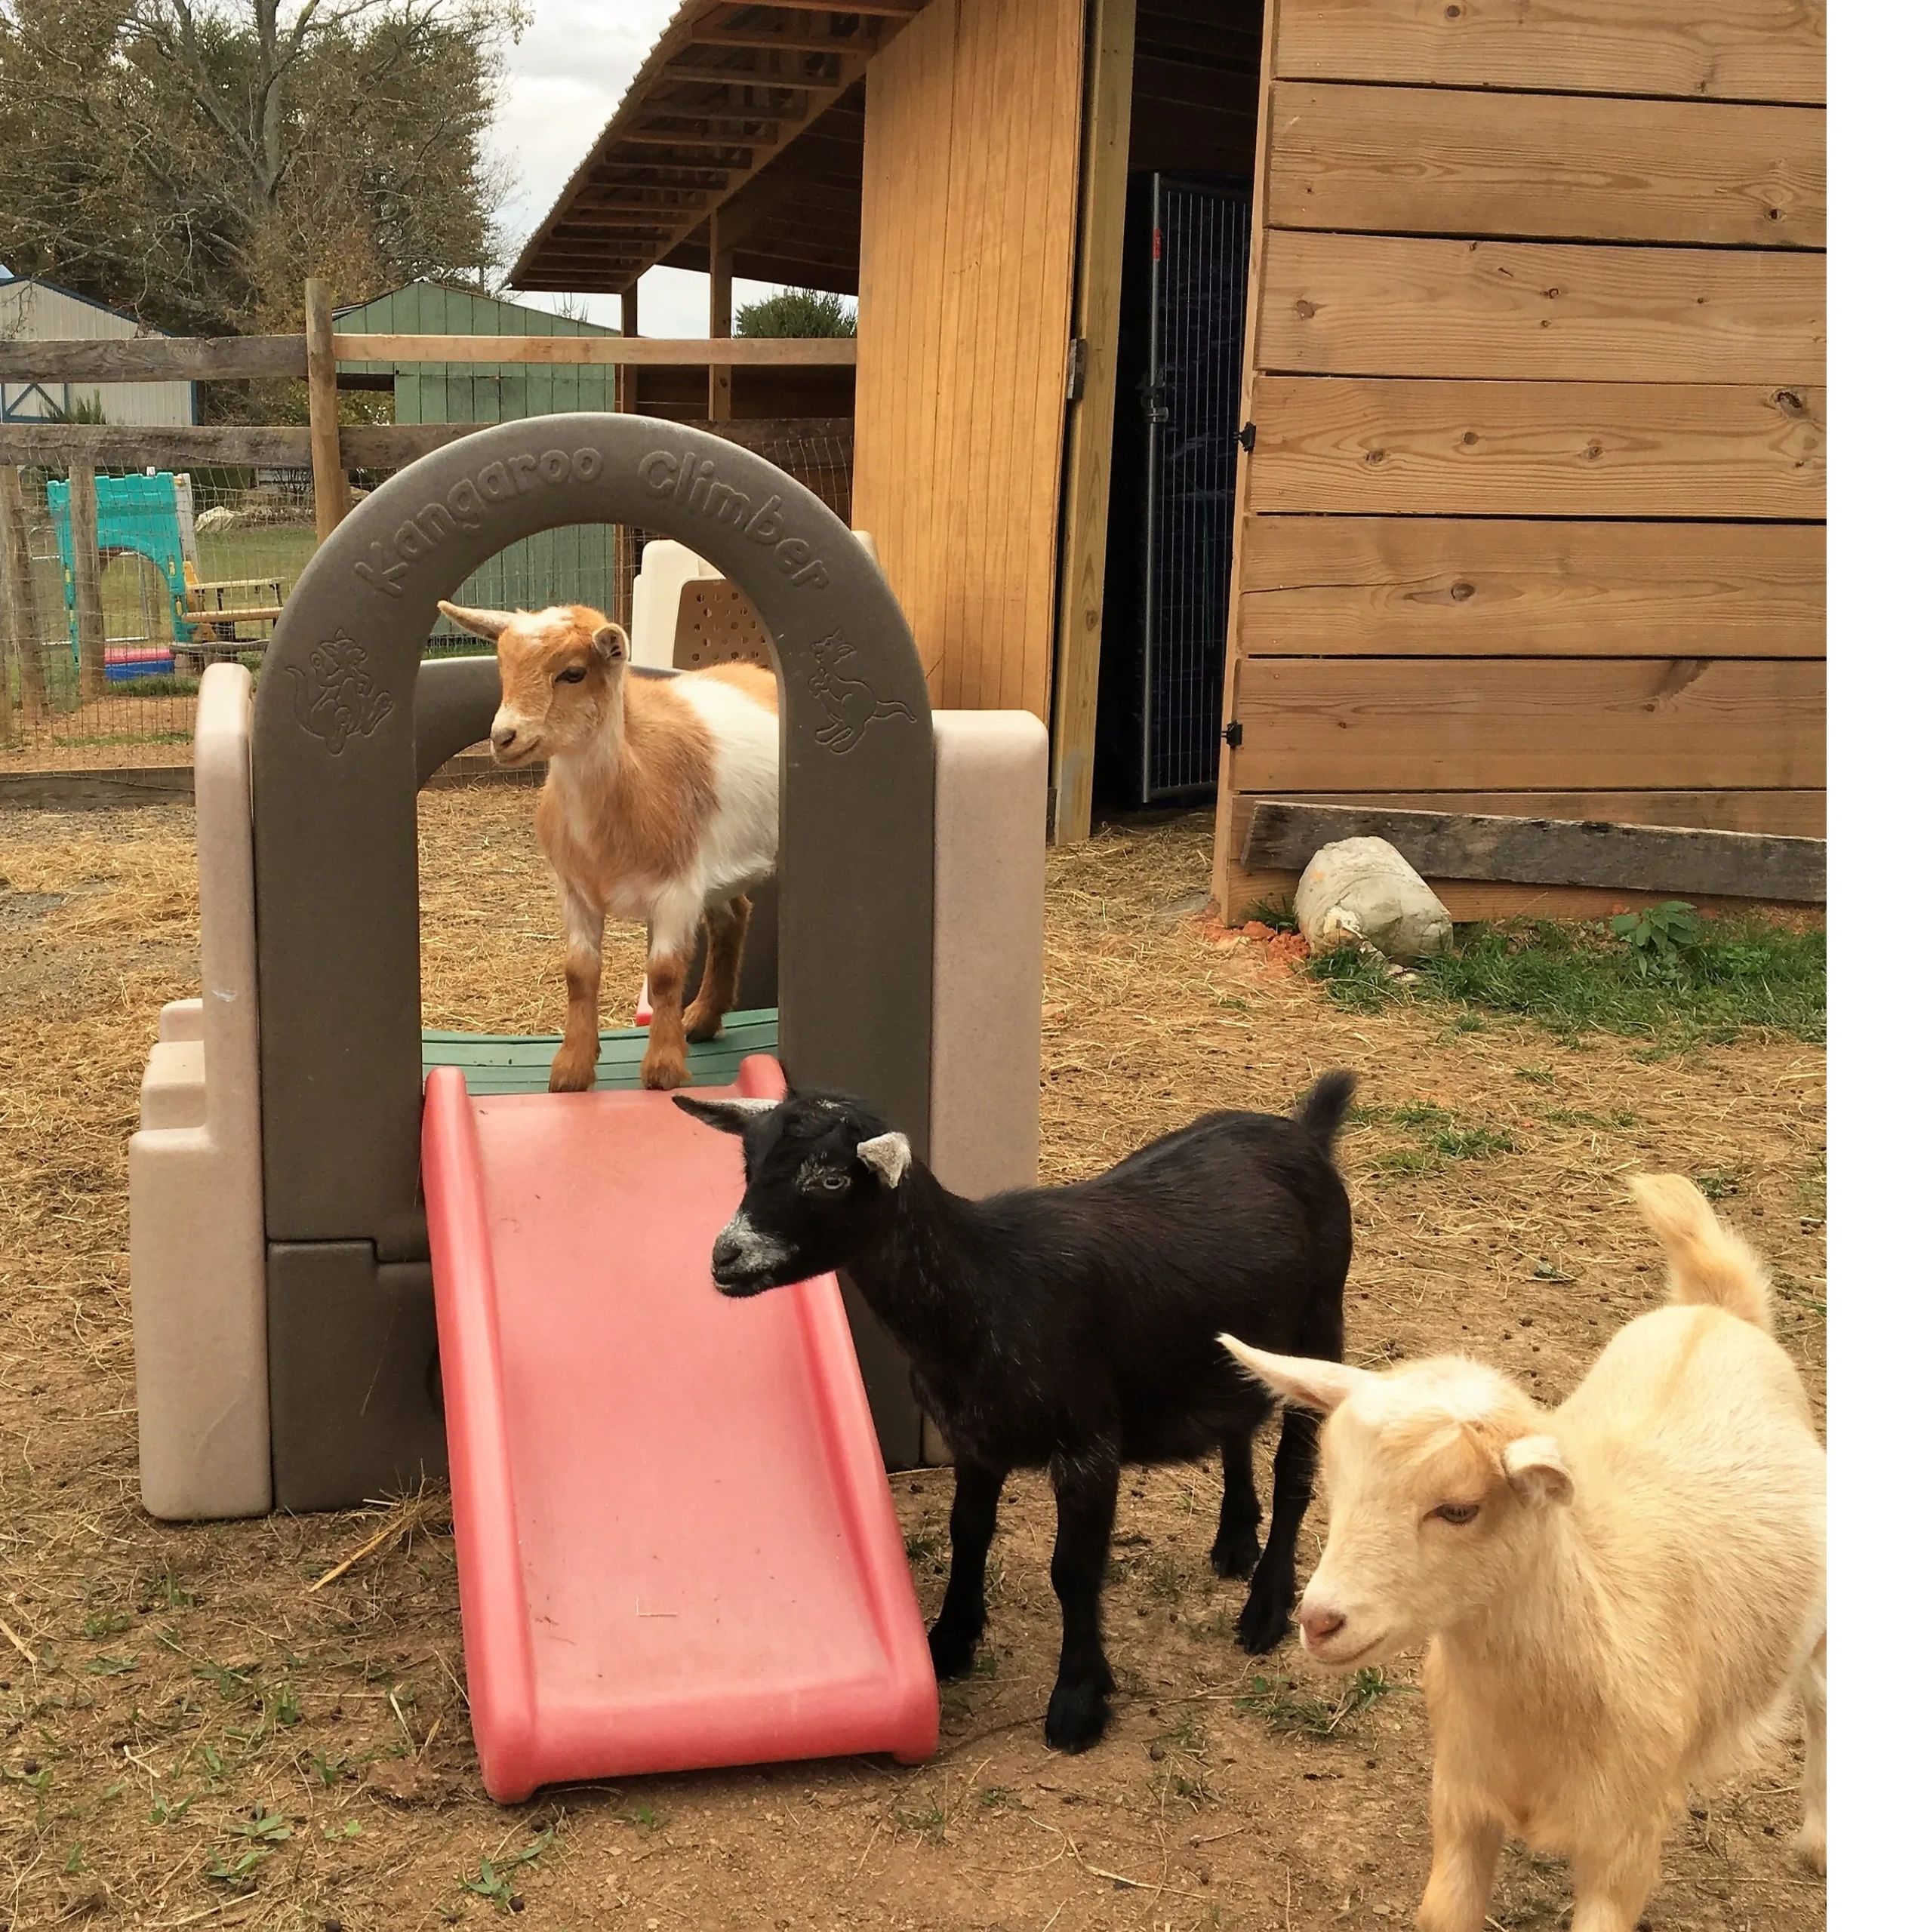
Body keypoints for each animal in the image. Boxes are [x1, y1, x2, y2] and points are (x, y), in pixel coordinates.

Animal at [439, 601, 777, 1092]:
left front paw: (663, 1070)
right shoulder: (575, 890)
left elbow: (665, 973)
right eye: (503, 665)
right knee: (732, 918)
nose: (503, 738)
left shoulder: (677, 890)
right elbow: (579, 972)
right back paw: (701, 1019)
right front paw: (572, 1069)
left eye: (574, 673)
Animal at [674, 1073, 1356, 1753]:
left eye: (833, 1180)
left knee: (1294, 1471)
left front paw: (1078, 1700)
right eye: (749, 1163)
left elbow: (1074, 1570)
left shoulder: (1088, 1446)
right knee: (1238, 1421)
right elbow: (968, 1532)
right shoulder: (974, 1439)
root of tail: (1303, 1132)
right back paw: (1235, 1540)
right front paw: (949, 1641)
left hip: (1319, 1327)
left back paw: (1265, 1609)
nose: (726, 1258)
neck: (984, 1286)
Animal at [1221, 1174, 1825, 1932]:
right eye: (1336, 1484)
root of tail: (1715, 1311)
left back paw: (1819, 1842)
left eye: (1458, 1508)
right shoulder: (1460, 1804)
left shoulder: (1623, 1850)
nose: (1320, 1621)